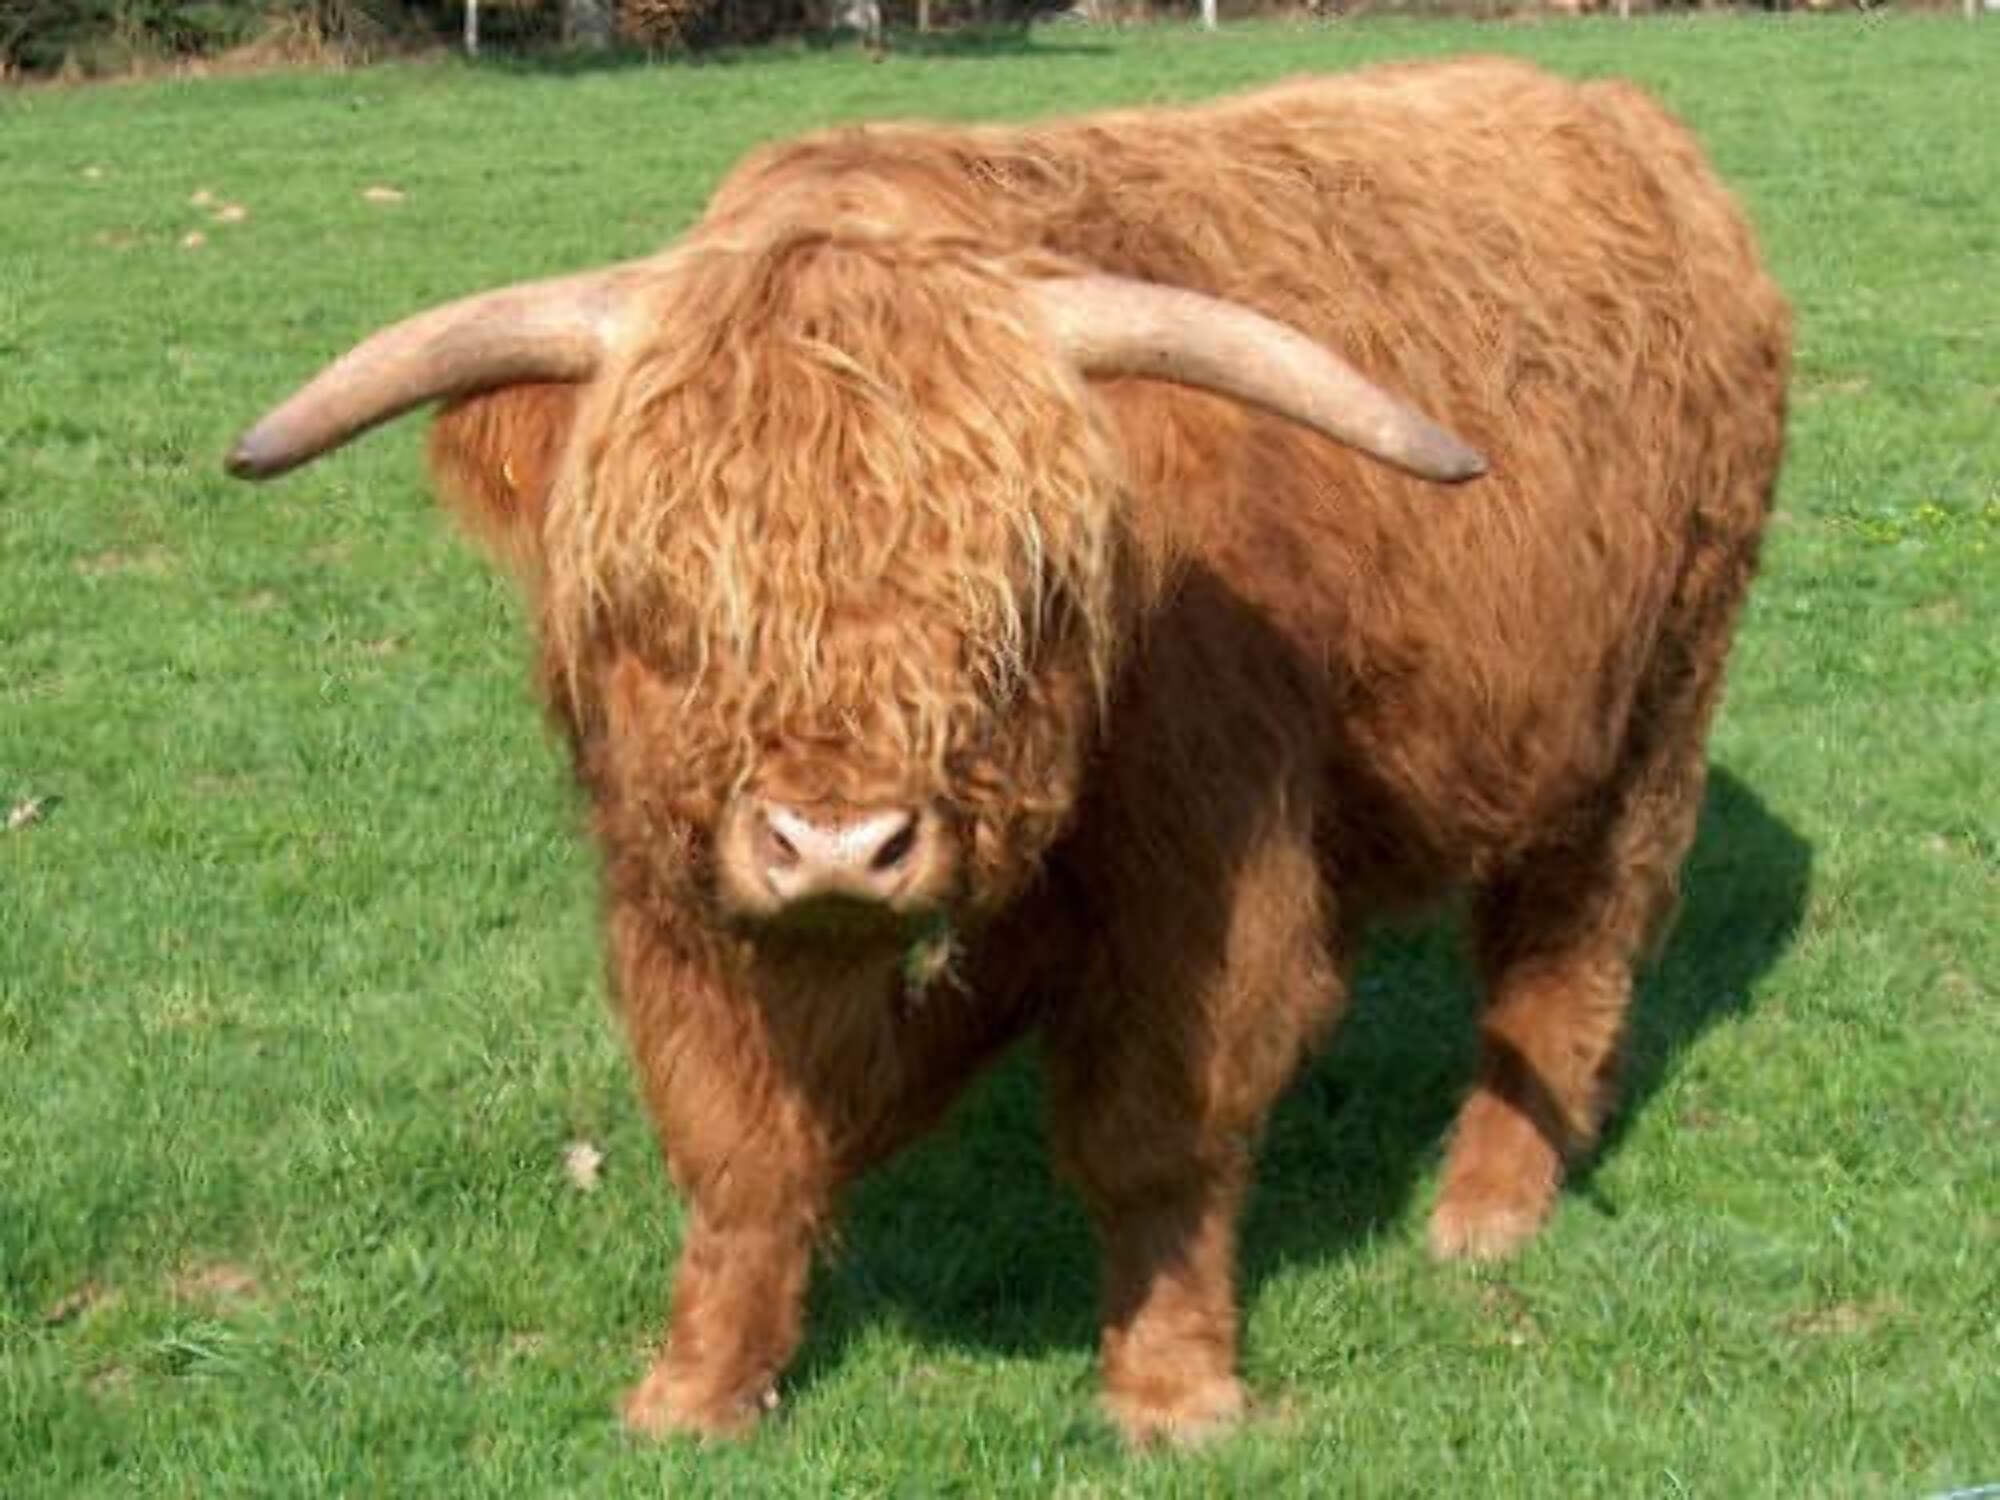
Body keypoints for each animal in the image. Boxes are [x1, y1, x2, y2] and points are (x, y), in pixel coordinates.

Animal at [228, 58, 1791, 1444]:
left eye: (1015, 602)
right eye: (662, 604)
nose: (839, 845)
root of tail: (1623, 119)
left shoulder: (1203, 871)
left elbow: (1158, 1126)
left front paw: (1172, 1392)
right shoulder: (672, 878)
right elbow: (740, 1142)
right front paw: (700, 1385)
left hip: (1658, 694)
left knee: (1571, 941)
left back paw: (1487, 1208)